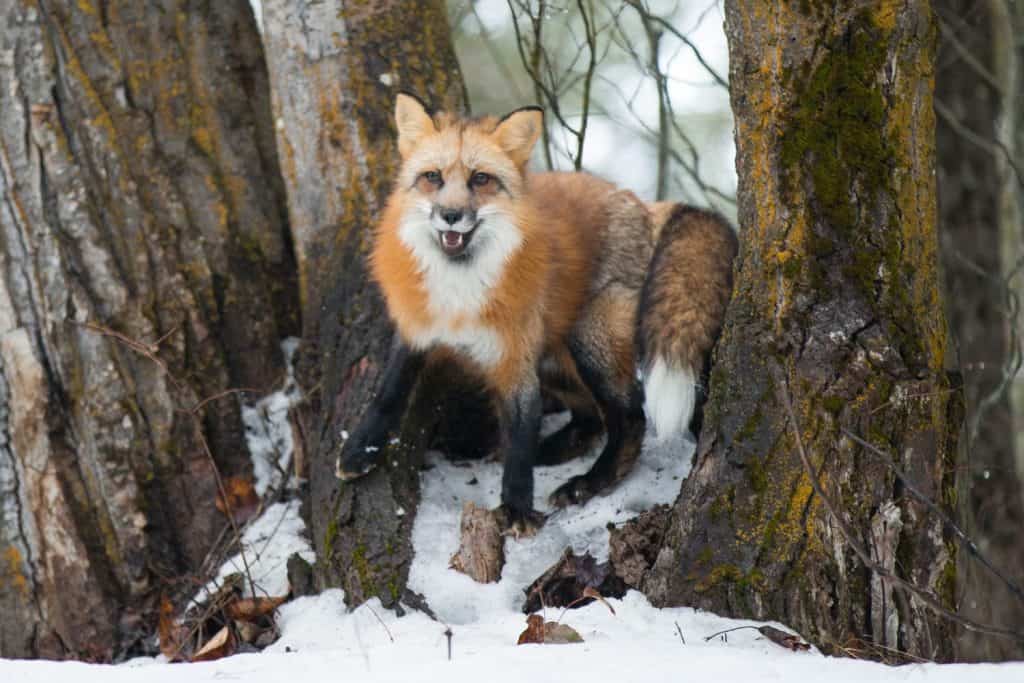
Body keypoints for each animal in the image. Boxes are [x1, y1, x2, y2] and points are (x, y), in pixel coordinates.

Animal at [337, 93, 737, 535]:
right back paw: (557, 451)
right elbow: (388, 393)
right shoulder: (418, 330)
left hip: (586, 338)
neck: (459, 290)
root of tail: (641, 204)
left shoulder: (515, 355)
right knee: (590, 418)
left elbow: (520, 437)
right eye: (432, 177)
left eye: (480, 179)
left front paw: (514, 508)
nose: (451, 215)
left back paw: (590, 481)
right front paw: (361, 449)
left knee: (630, 418)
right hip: (555, 357)